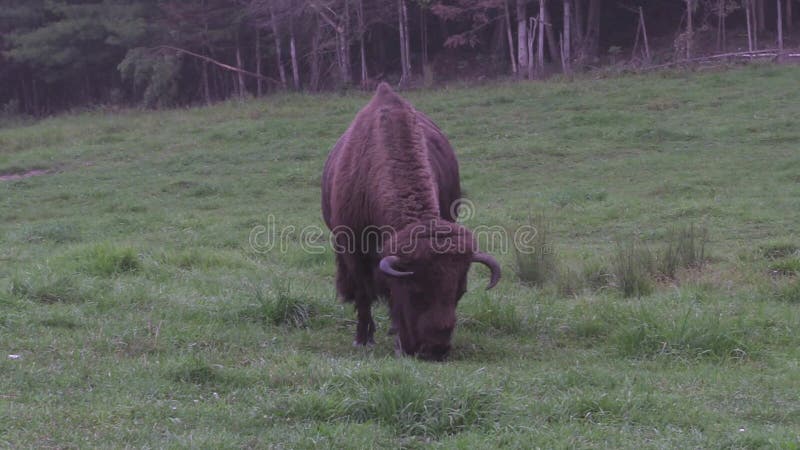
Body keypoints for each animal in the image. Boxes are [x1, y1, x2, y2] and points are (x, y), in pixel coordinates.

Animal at [321, 83, 500, 360]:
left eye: (459, 292)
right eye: (415, 291)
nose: (434, 350)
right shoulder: (353, 250)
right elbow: (363, 294)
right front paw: (362, 339)